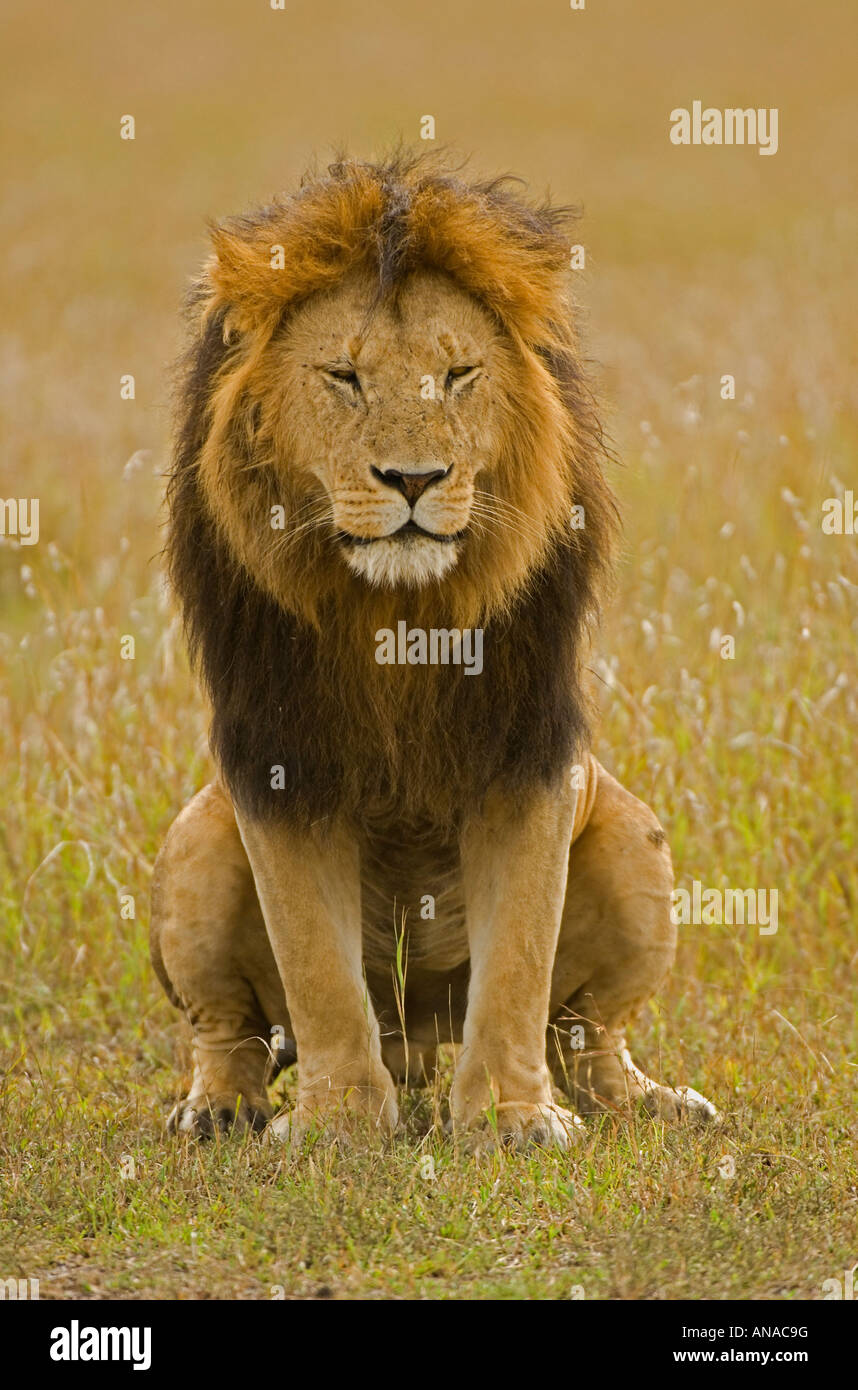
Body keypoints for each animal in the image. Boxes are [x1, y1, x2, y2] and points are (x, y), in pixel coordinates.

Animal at [150, 151, 718, 1150]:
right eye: (343, 376)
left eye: (458, 374)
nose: (413, 481)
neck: (396, 614)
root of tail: (416, 1033)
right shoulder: (278, 762)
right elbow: (317, 968)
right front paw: (337, 1122)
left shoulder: (527, 751)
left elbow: (520, 960)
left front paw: (512, 1118)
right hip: (196, 842)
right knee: (232, 1028)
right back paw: (217, 1108)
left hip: (632, 843)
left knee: (586, 1033)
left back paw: (650, 1103)